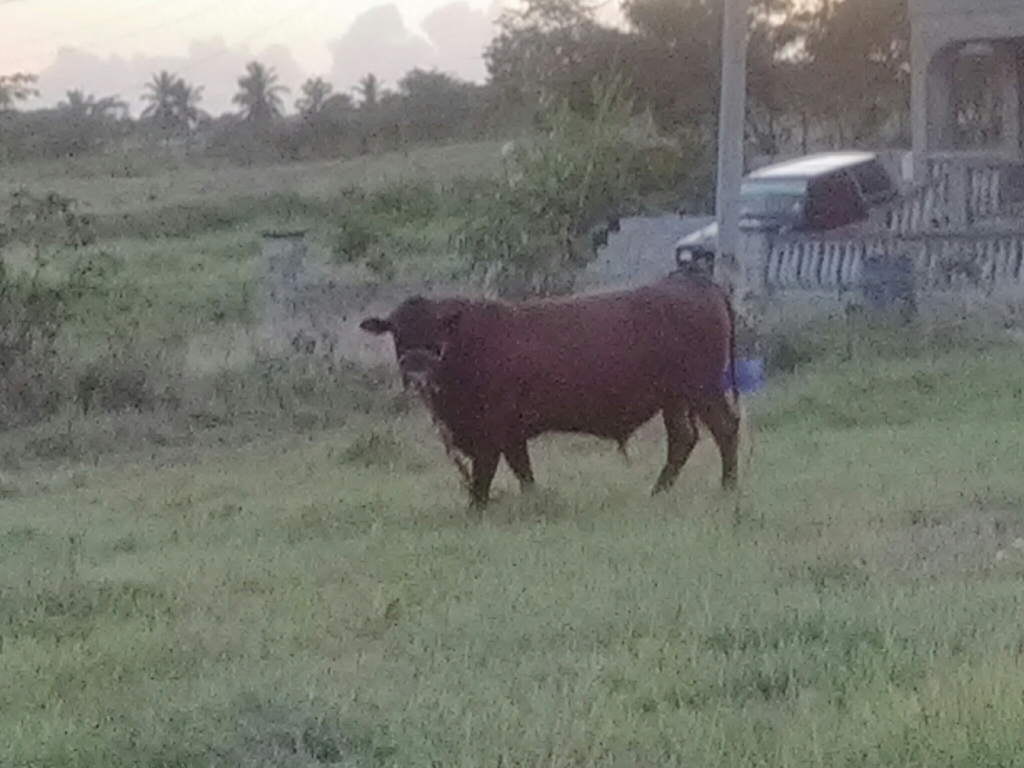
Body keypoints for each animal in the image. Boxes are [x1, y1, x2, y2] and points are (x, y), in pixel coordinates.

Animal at [360, 272, 741, 509]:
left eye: (435, 332)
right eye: (397, 333)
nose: (417, 372)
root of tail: (694, 282)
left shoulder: (491, 430)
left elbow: (485, 477)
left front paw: (476, 510)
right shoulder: (511, 434)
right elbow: (523, 471)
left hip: (703, 389)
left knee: (724, 428)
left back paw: (728, 488)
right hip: (674, 398)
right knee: (683, 438)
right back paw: (658, 492)